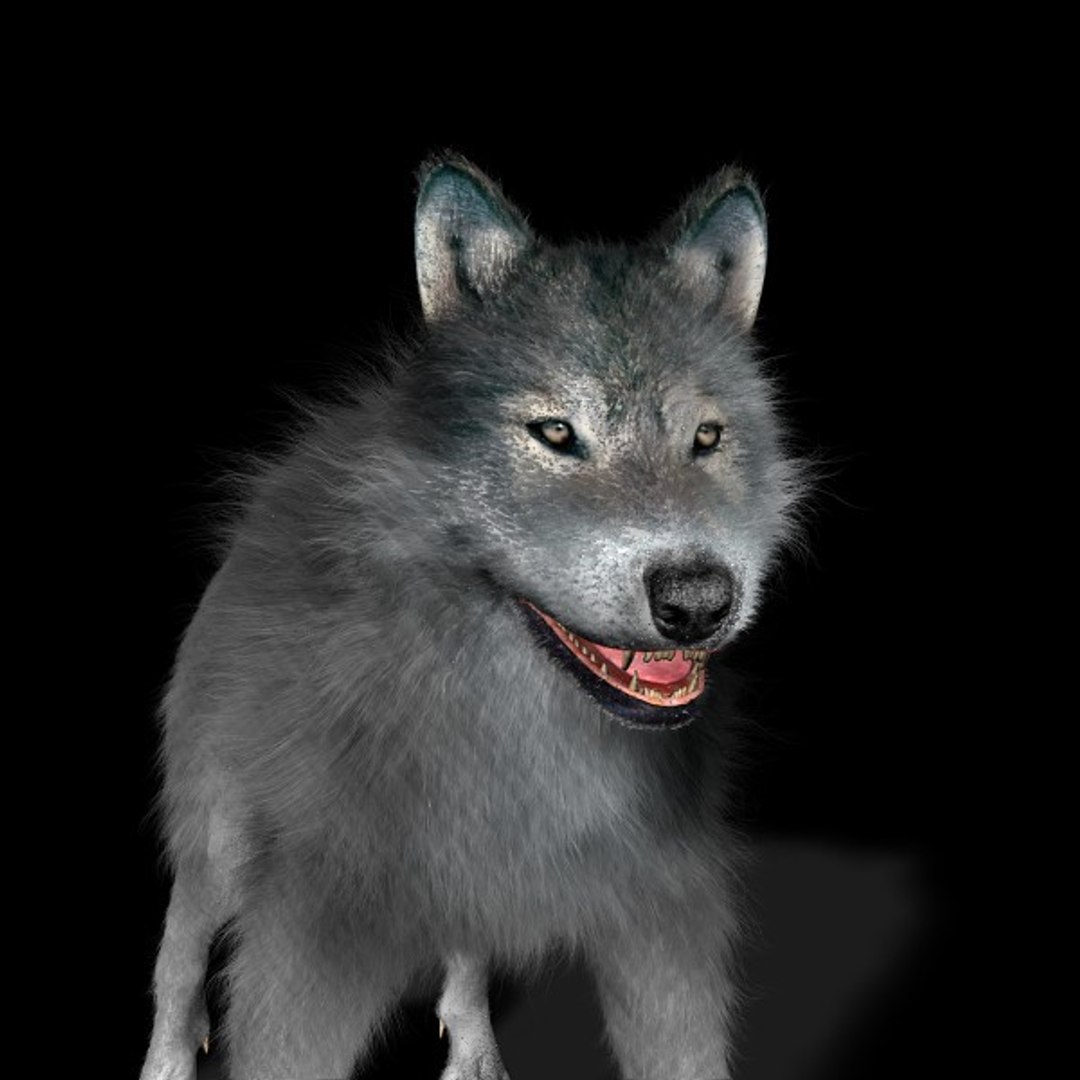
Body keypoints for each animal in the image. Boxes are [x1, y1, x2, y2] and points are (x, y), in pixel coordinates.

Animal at [139, 155, 803, 1080]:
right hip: (220, 841)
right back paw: (165, 1057)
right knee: (180, 944)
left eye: (707, 438)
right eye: (555, 432)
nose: (699, 599)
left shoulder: (664, 912)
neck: (520, 736)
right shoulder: (310, 928)